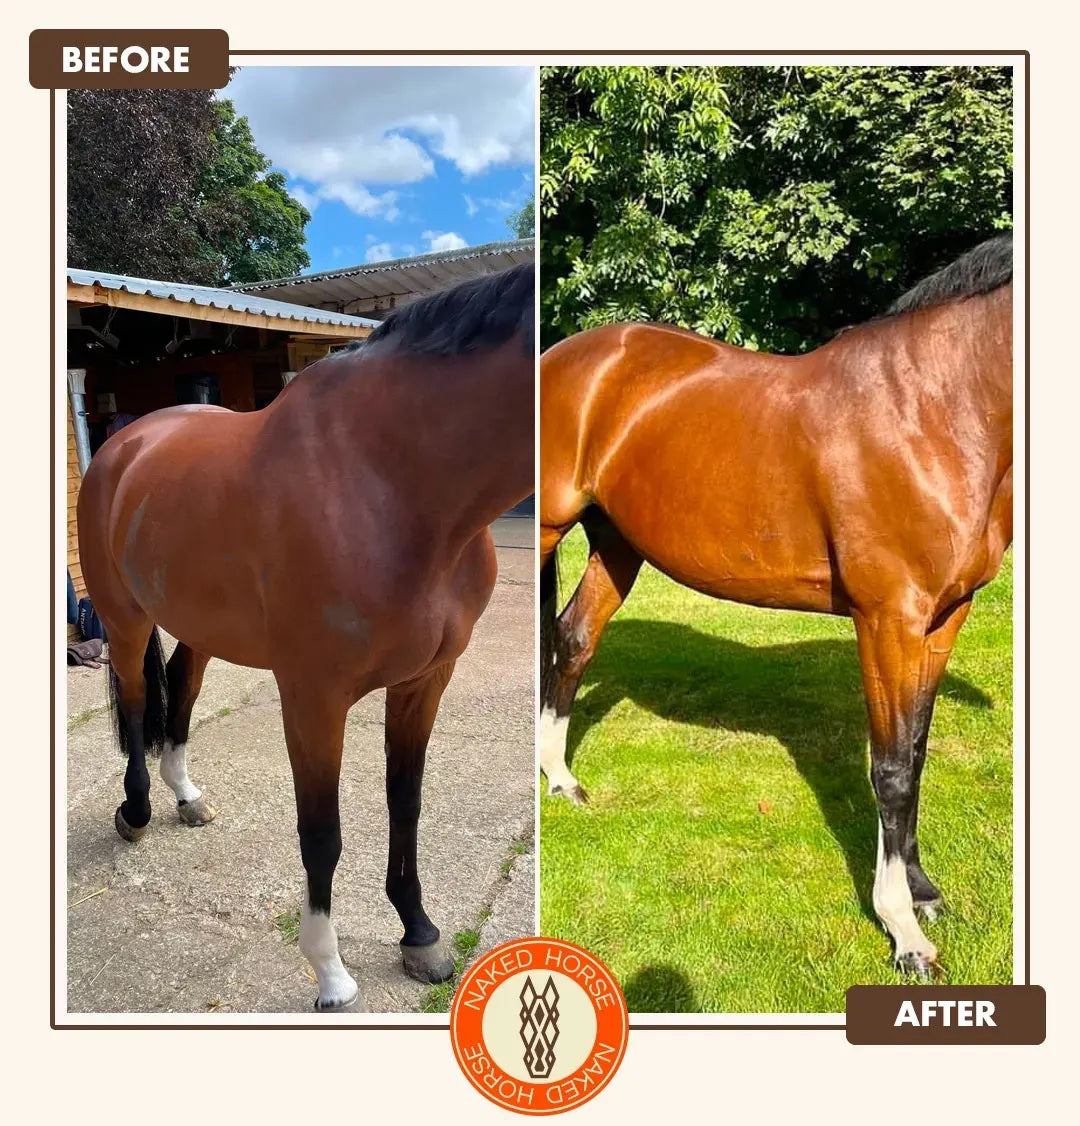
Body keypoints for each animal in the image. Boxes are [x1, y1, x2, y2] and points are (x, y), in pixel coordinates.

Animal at [77, 263, 534, 1010]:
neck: (391, 482)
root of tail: (126, 443)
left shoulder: (425, 680)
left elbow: (405, 804)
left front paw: (419, 932)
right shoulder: (314, 698)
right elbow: (322, 834)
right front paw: (331, 972)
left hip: (201, 624)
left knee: (184, 686)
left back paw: (186, 796)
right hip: (123, 617)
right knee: (140, 700)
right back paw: (137, 811)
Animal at [538, 235, 1012, 979]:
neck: (935, 407)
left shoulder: (945, 618)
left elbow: (916, 751)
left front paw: (923, 890)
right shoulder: (888, 620)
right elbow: (890, 770)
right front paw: (903, 931)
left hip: (616, 544)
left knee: (574, 638)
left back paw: (562, 781)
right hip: (544, 528)